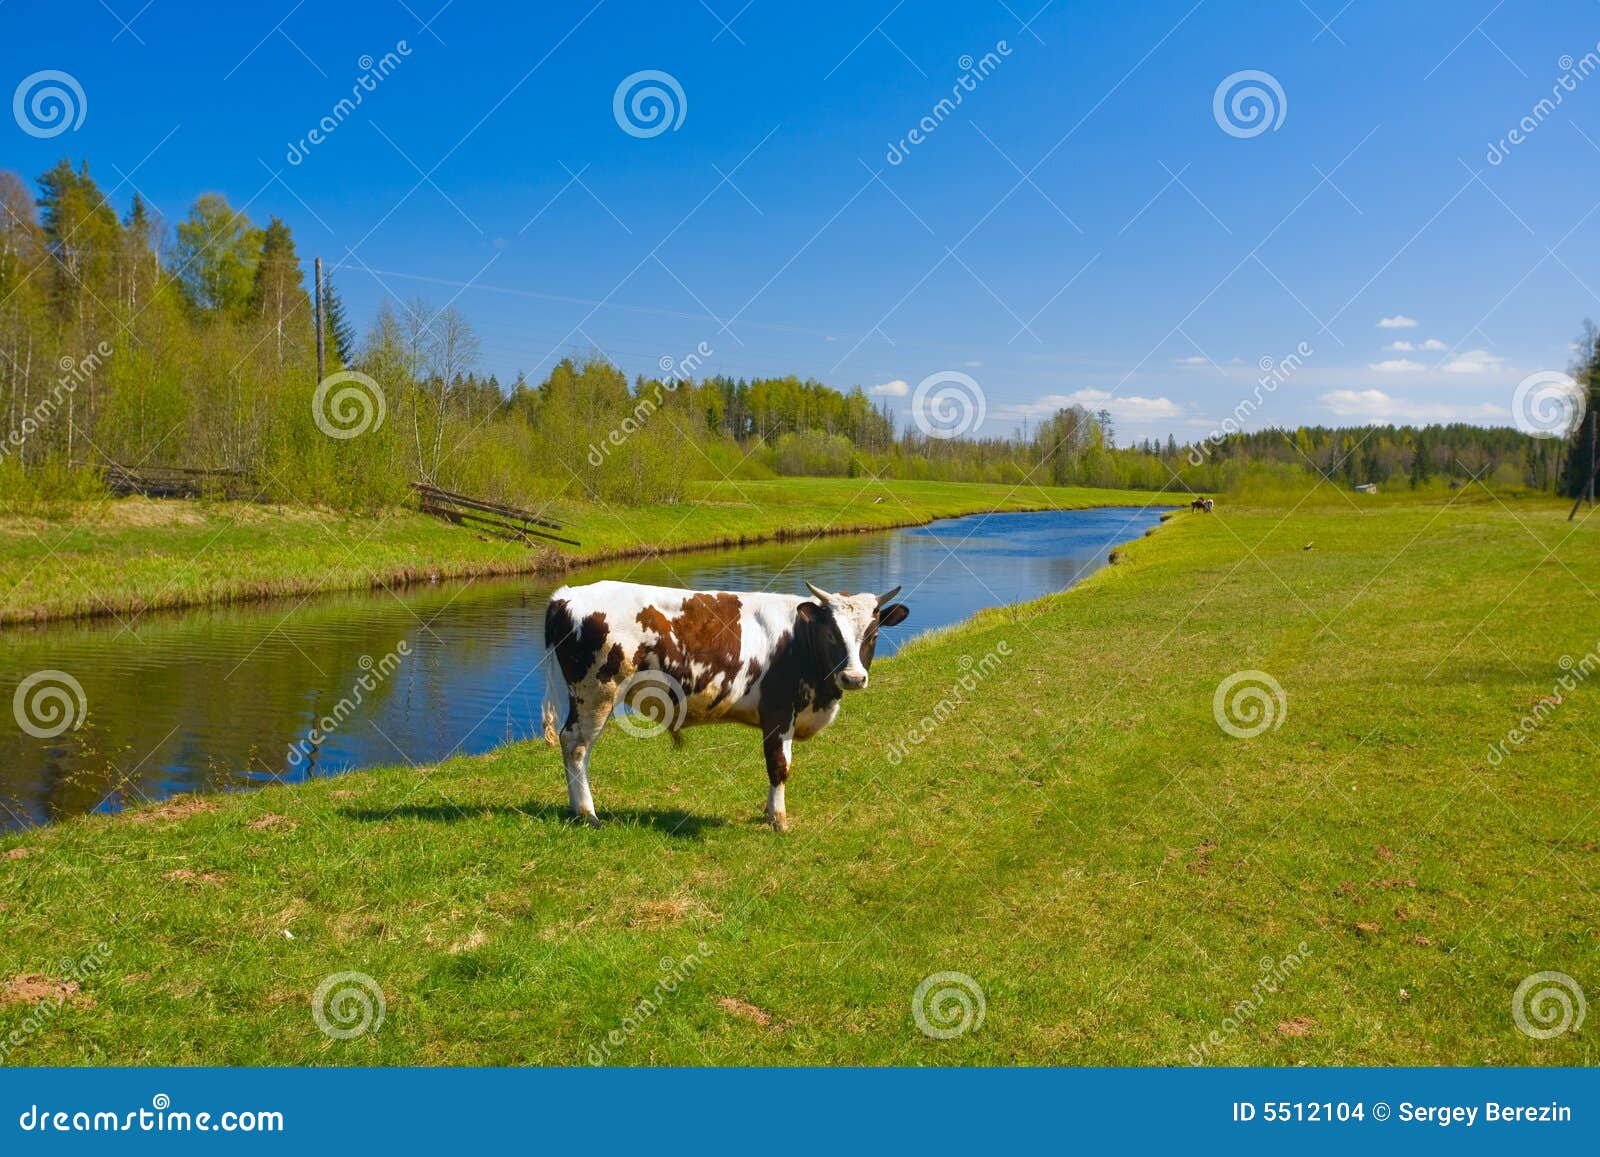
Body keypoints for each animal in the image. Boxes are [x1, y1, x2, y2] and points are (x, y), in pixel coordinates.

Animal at [541, 579, 910, 831]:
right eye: (832, 634)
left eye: (873, 634)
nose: (853, 677)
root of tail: (566, 595)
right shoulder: (778, 712)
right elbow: (779, 766)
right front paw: (778, 819)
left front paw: (768, 812)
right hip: (595, 692)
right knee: (575, 745)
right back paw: (587, 813)